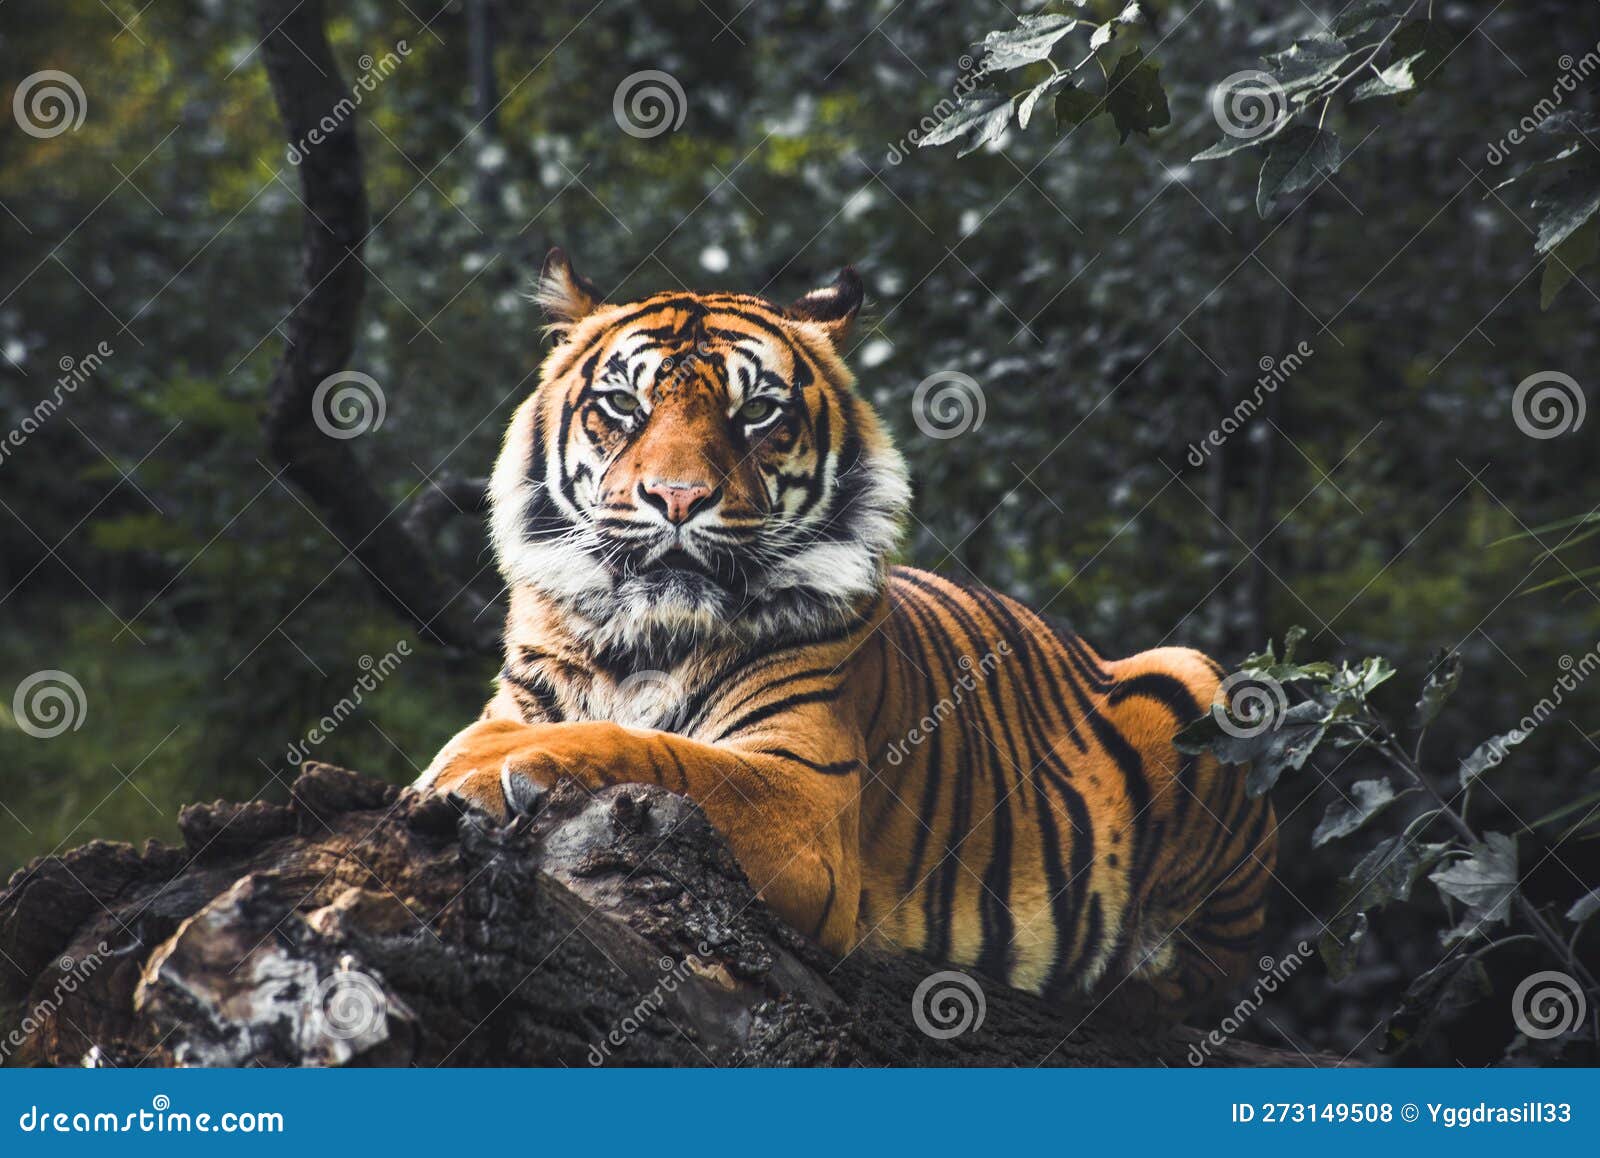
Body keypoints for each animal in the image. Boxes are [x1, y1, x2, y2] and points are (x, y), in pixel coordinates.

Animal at [418, 249, 1278, 1011]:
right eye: (624, 406)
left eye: (756, 412)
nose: (677, 497)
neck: (650, 636)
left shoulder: (804, 794)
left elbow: (659, 750)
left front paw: (482, 765)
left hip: (1204, 682)